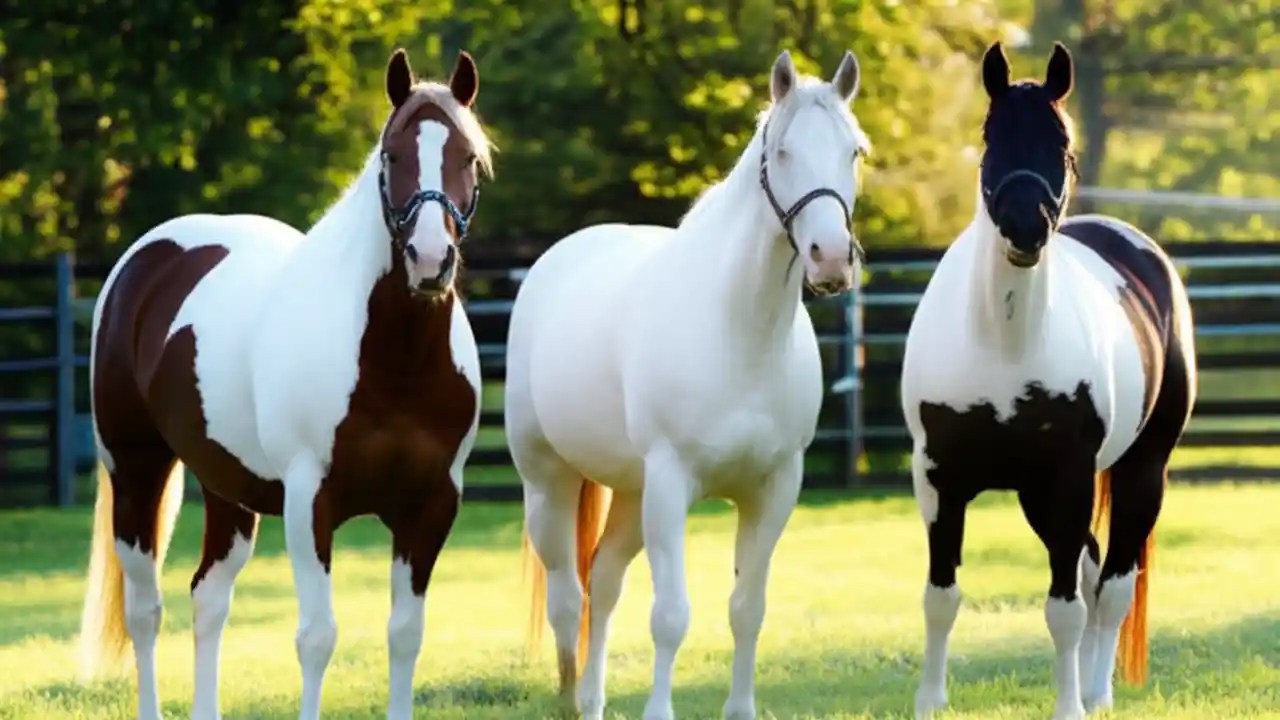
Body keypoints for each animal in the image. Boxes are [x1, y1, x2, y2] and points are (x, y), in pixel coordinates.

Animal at [77, 48, 491, 720]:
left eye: (468, 158)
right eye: (392, 155)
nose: (430, 261)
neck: (393, 363)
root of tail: (145, 257)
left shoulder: (431, 504)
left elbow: (405, 634)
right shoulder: (308, 500)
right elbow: (317, 637)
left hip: (228, 489)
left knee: (207, 598)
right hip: (137, 470)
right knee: (145, 611)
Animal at [508, 49, 870, 720]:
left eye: (853, 151)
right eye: (782, 152)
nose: (831, 259)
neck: (738, 334)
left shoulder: (774, 489)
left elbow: (747, 610)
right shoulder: (672, 484)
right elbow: (671, 616)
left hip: (631, 494)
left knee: (603, 581)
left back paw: (594, 699)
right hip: (549, 483)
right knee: (568, 597)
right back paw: (573, 697)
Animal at [900, 41, 1197, 720]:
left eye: (1062, 143)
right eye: (990, 136)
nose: (1024, 227)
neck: (1001, 342)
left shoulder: (1068, 476)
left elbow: (1065, 609)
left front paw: (1068, 708)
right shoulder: (939, 479)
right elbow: (939, 596)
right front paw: (929, 701)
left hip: (1140, 472)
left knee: (1111, 586)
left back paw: (1097, 693)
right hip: (1037, 497)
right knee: (1090, 567)